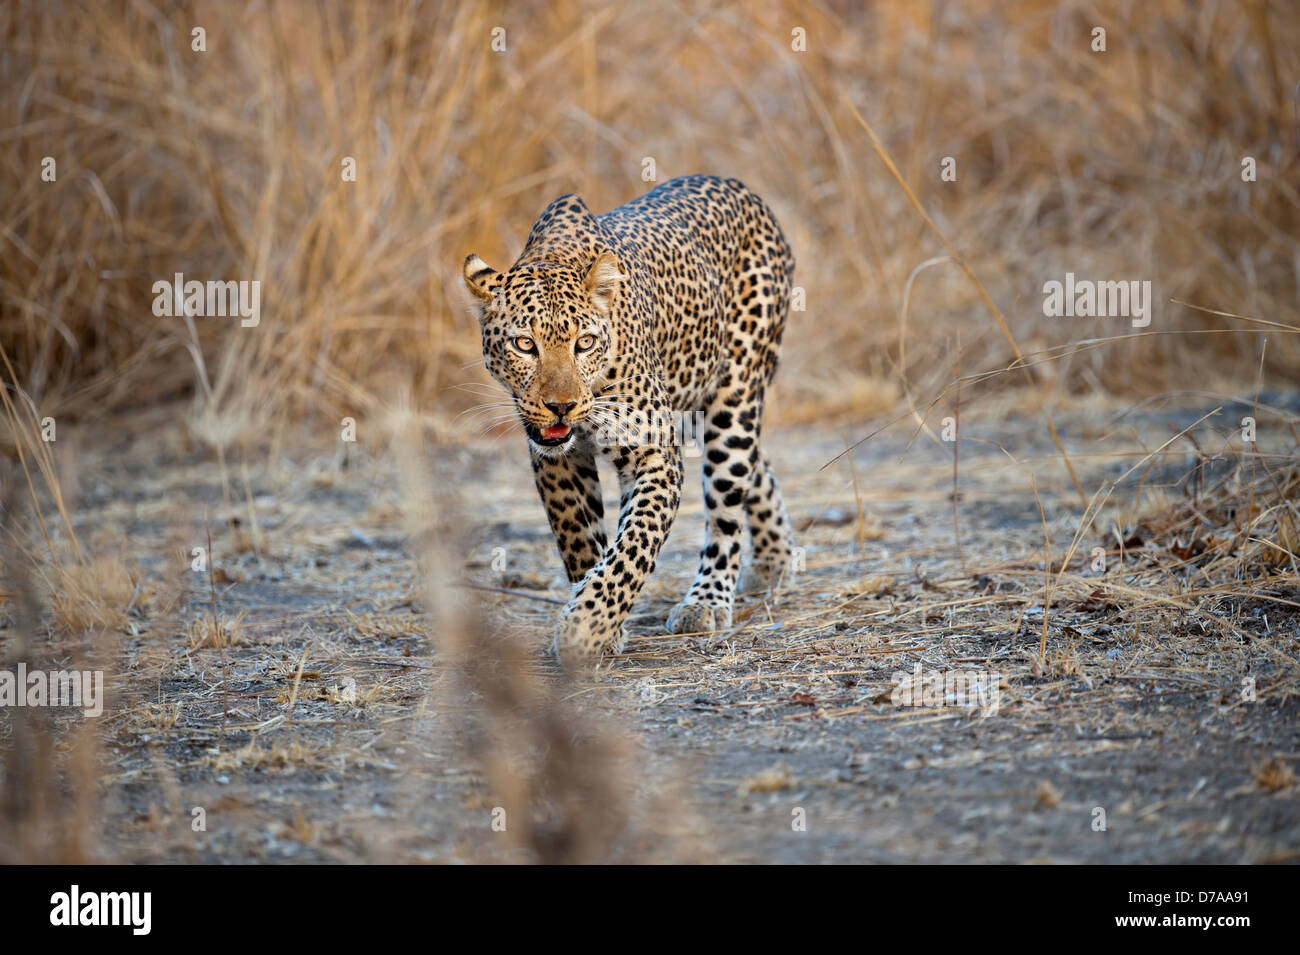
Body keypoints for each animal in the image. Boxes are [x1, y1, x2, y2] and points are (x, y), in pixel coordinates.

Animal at [462, 175, 796, 661]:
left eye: (584, 343)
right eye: (524, 344)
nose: (560, 405)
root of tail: (741, 187)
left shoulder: (653, 456)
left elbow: (632, 547)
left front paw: (587, 624)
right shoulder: (556, 462)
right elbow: (580, 539)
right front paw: (604, 627)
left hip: (735, 394)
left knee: (728, 500)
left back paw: (707, 601)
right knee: (757, 466)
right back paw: (775, 559)